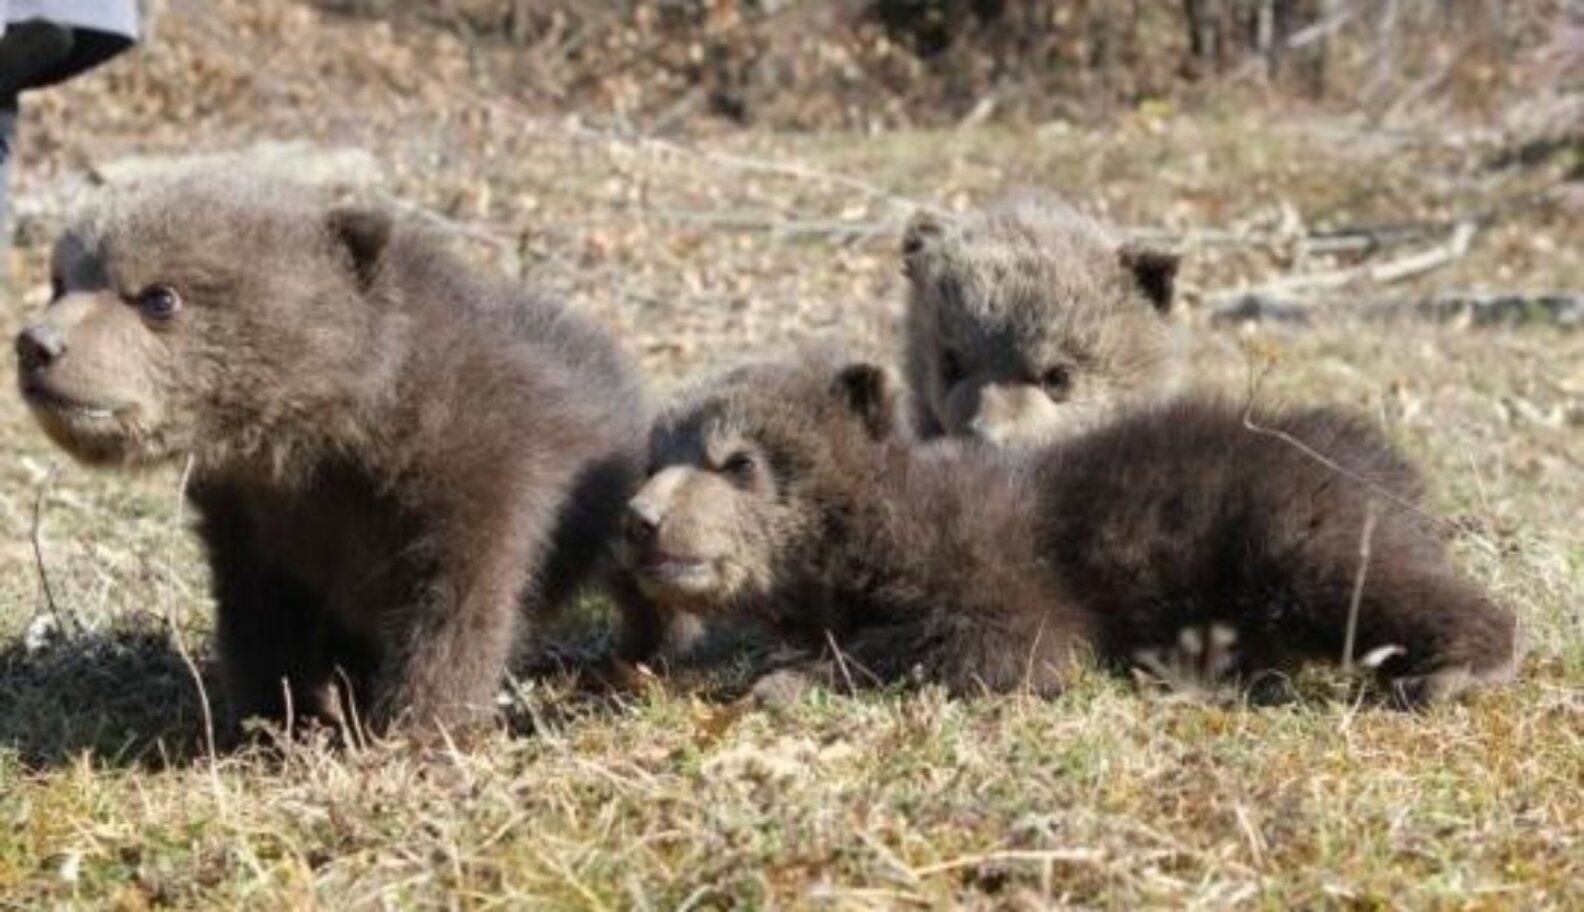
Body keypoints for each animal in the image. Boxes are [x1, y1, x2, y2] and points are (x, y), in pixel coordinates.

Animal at [14, 174, 652, 737]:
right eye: (61, 279)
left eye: (159, 296)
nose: (35, 344)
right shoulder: (253, 514)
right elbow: (260, 617)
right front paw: (278, 723)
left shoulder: (477, 470)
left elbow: (457, 607)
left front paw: (418, 729)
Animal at [617, 350, 1518, 706]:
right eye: (656, 454)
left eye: (736, 460)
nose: (639, 519)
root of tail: (1386, 461)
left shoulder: (996, 566)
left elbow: (1003, 644)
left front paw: (791, 676)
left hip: (1288, 521)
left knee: (1362, 581)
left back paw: (1460, 666)